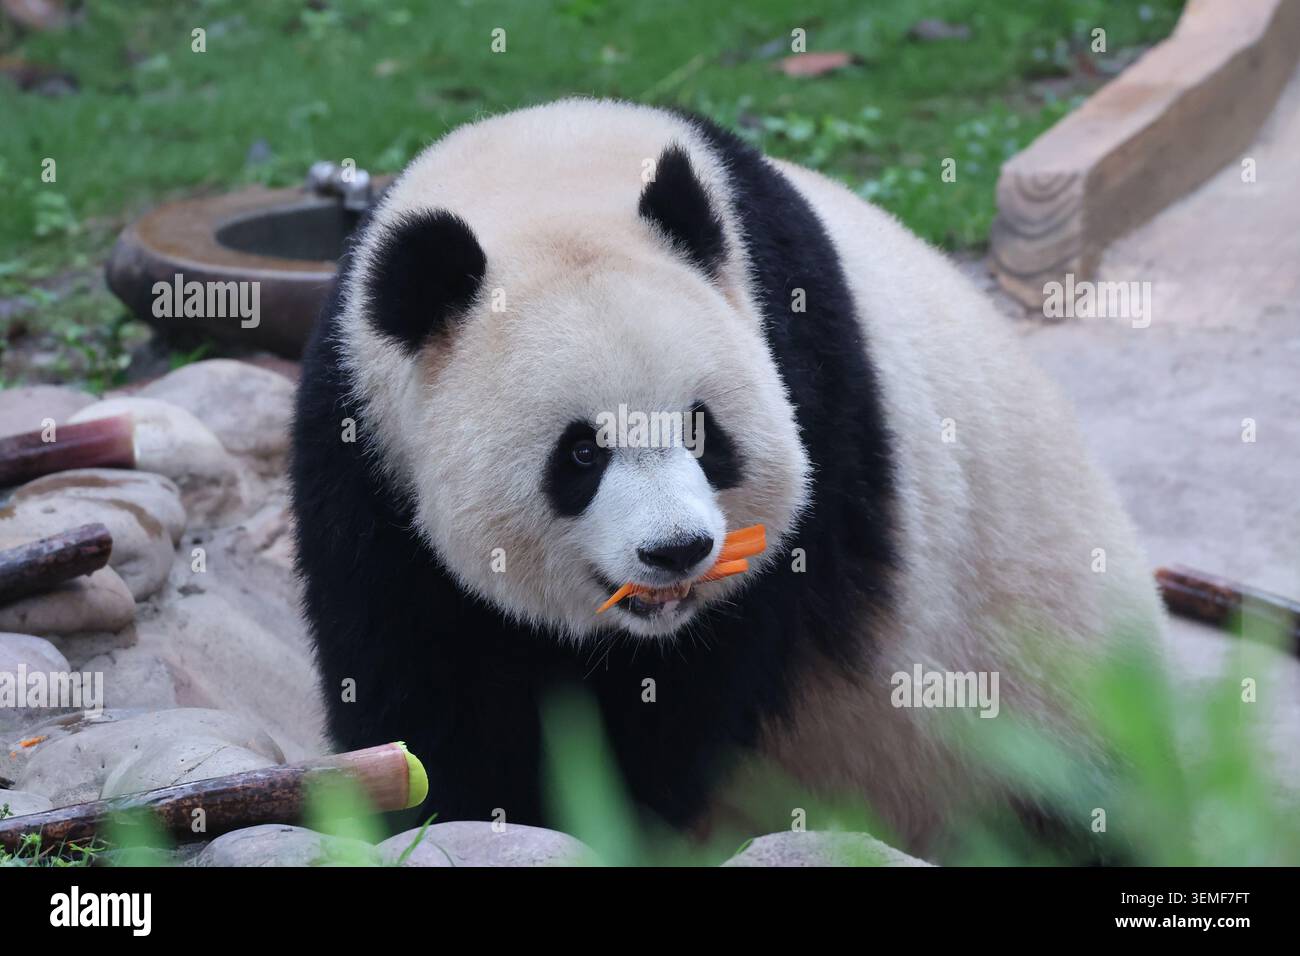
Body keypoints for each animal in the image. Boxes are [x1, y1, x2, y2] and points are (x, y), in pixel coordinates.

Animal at [290, 98, 1165, 862]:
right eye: (581, 454)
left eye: (701, 431)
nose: (676, 551)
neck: (546, 178)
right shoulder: (364, 443)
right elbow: (414, 668)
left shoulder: (806, 376)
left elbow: (695, 696)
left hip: (1047, 700)